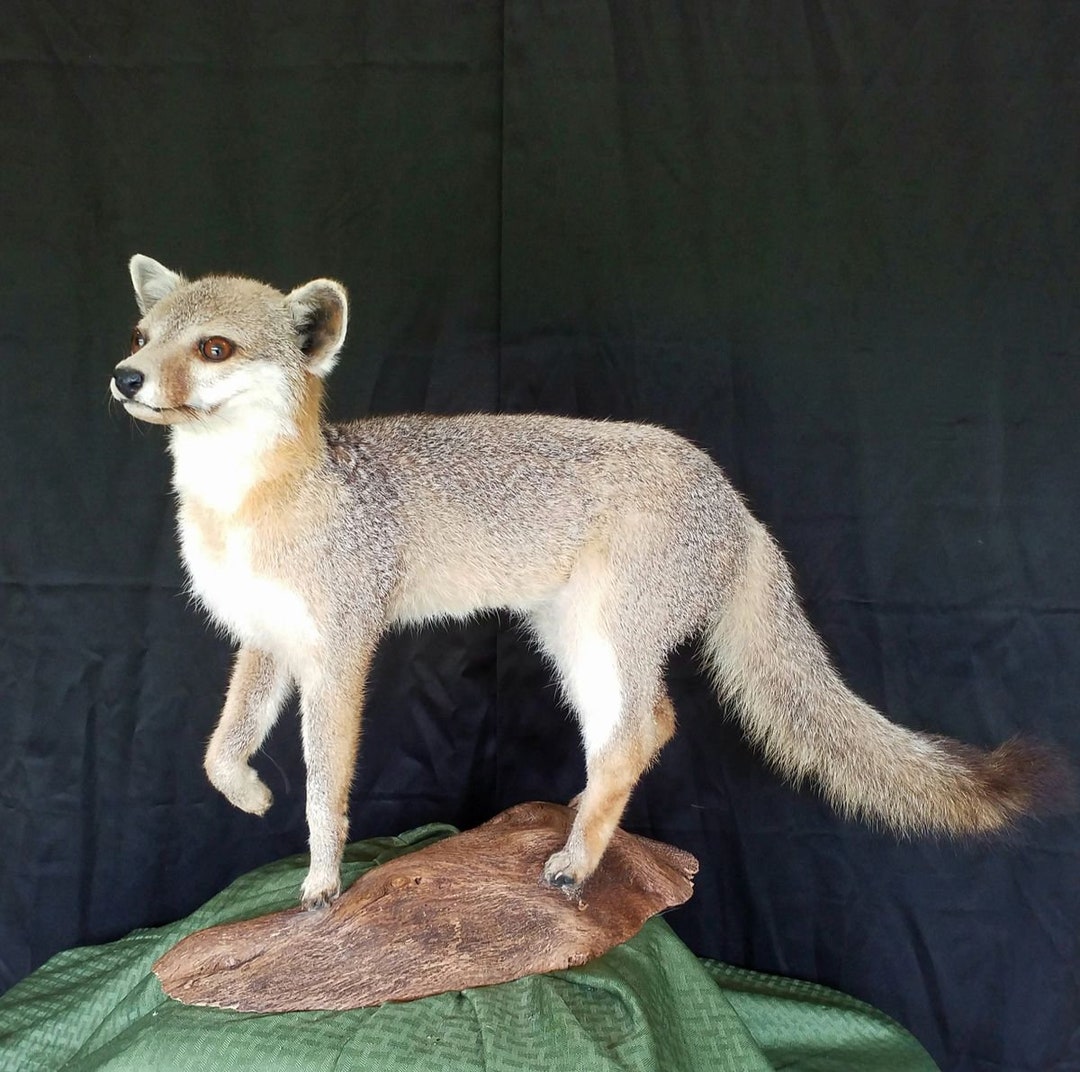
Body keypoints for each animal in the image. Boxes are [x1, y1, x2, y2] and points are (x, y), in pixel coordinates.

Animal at [111, 254, 1067, 910]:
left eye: (214, 348)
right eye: (142, 338)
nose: (123, 378)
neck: (241, 508)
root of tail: (733, 498)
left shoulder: (342, 650)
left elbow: (324, 786)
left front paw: (320, 880)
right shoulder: (267, 639)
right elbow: (218, 750)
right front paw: (248, 792)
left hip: (608, 639)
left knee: (641, 727)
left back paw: (578, 858)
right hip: (571, 643)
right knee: (640, 730)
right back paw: (580, 827)